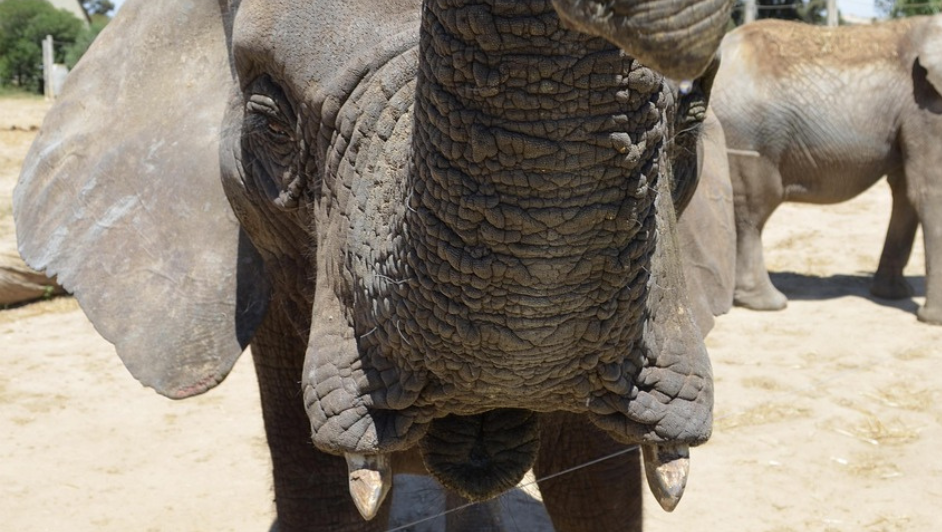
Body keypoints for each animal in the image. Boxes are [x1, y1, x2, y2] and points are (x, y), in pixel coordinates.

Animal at [711, 16, 942, 324]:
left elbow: (904, 190)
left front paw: (893, 295)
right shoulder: (926, 106)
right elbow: (927, 190)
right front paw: (933, 319)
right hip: (746, 135)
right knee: (756, 206)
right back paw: (768, 304)